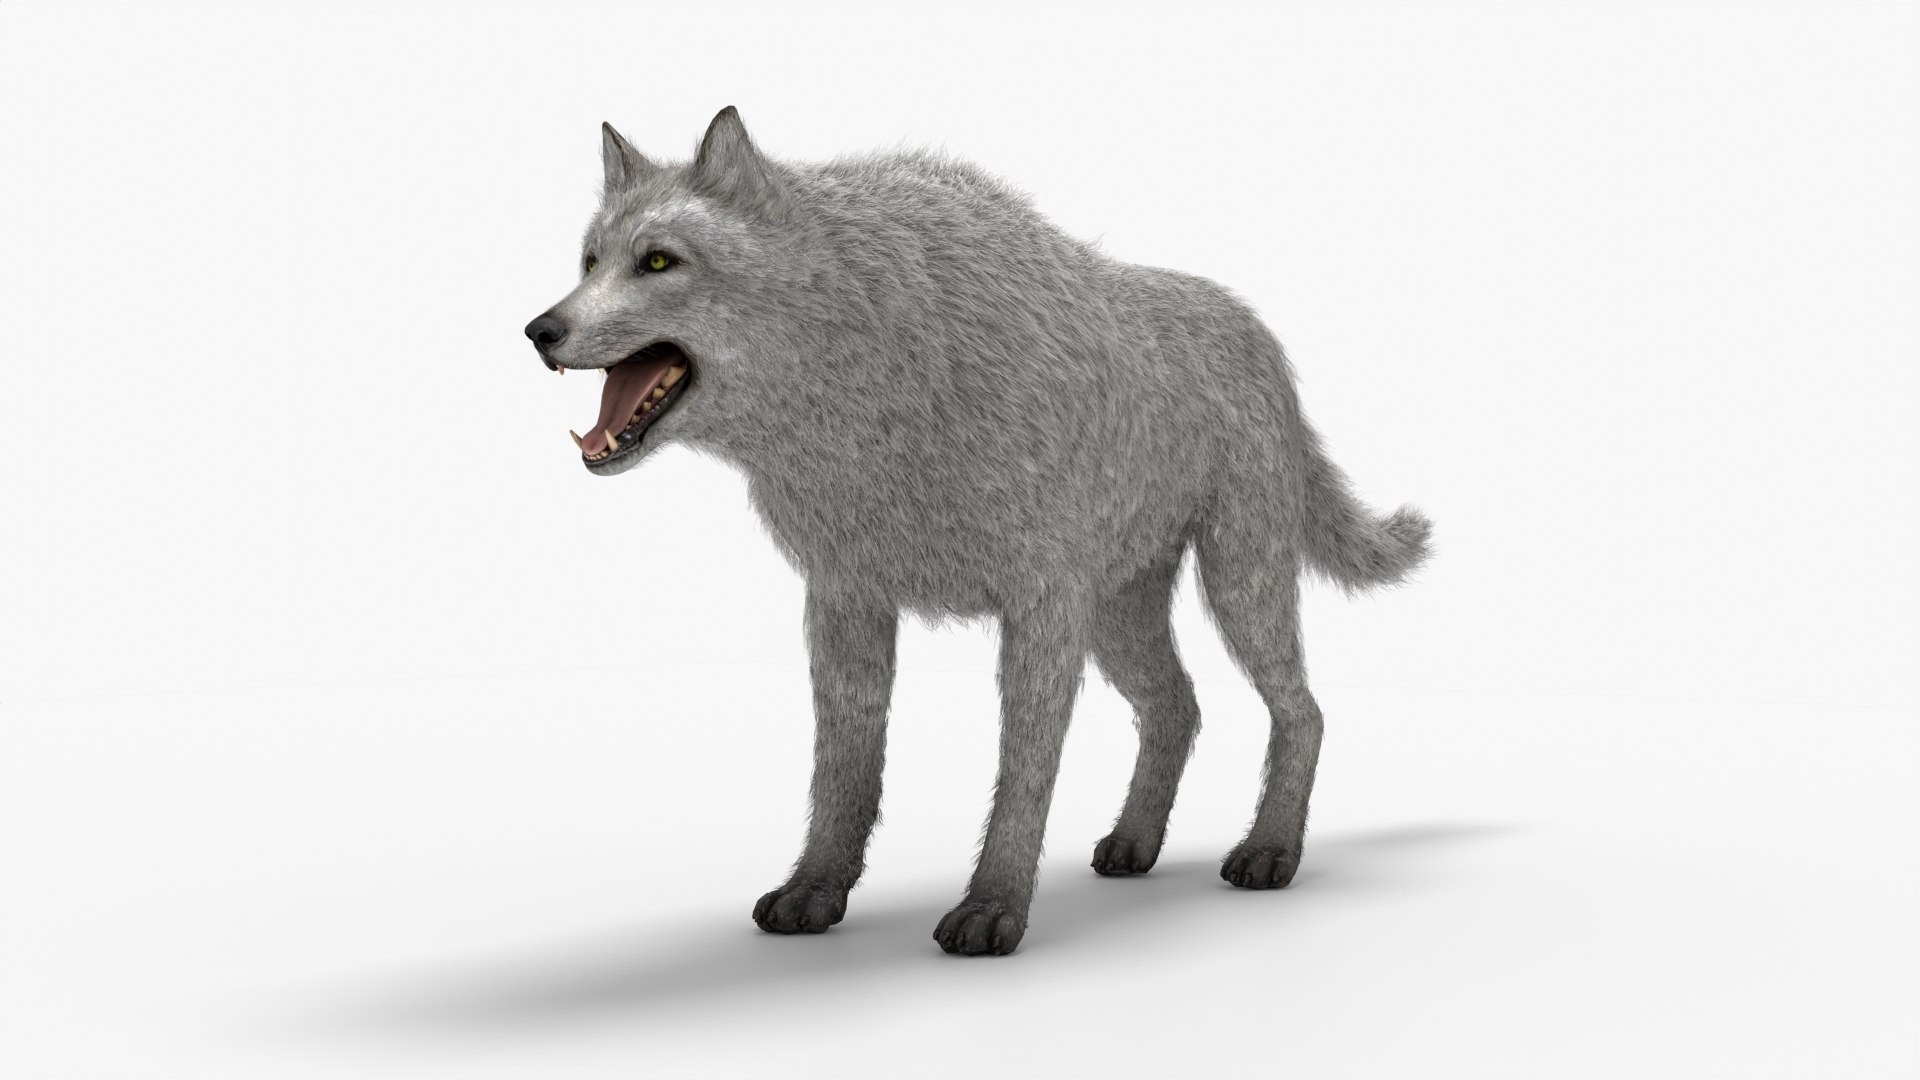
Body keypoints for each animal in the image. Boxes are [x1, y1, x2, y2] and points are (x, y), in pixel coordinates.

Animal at [523, 107, 1432, 956]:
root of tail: (1259, 332)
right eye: (589, 261)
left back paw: (1270, 852)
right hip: (1120, 613)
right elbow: (843, 770)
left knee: (1302, 711)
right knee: (1178, 707)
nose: (539, 331)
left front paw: (993, 910)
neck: (875, 378)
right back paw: (1135, 844)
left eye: (658, 261)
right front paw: (815, 891)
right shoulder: (847, 600)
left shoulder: (1041, 606)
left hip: (1236, 581)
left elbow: (1023, 774)